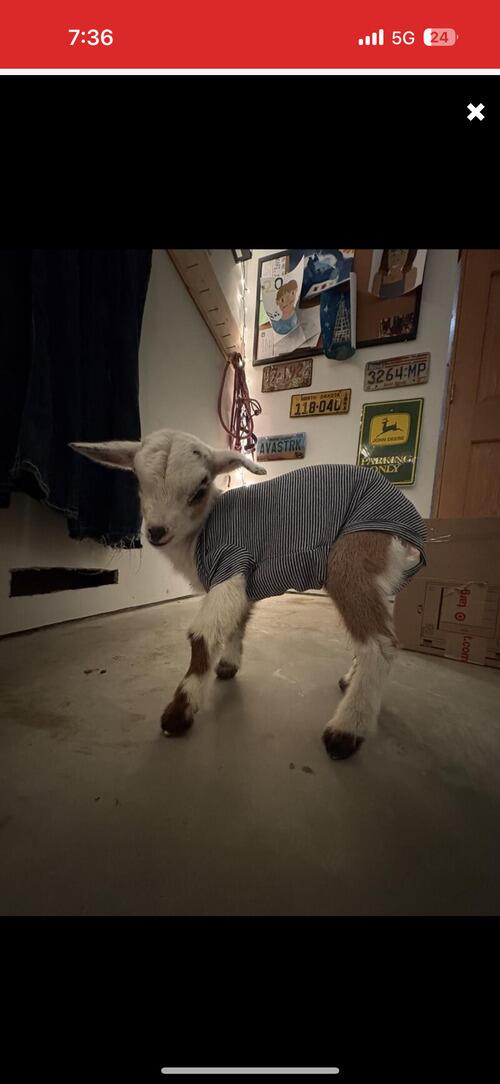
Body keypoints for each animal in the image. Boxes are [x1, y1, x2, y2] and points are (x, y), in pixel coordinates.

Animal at [70, 429, 426, 760]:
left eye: (200, 488)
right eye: (138, 480)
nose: (156, 532)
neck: (202, 530)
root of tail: (411, 522)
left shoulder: (230, 563)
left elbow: (202, 636)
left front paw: (179, 712)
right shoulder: (243, 578)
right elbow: (235, 623)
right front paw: (228, 665)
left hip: (354, 553)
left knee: (379, 645)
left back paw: (346, 732)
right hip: (380, 579)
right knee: (377, 633)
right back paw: (350, 681)